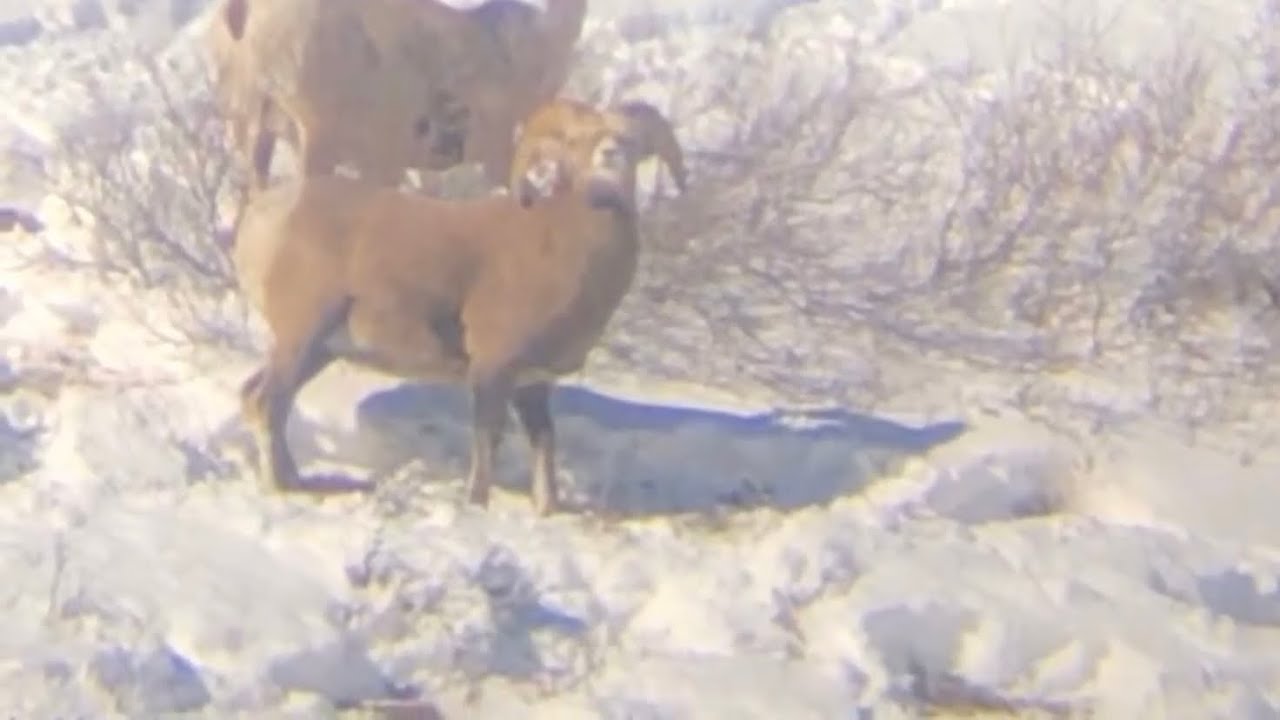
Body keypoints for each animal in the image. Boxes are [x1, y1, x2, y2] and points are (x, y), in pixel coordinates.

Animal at [231, 97, 688, 515]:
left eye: (632, 139)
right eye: (576, 142)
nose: (611, 154)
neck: (562, 249)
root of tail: (262, 216)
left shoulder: (533, 385)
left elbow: (544, 444)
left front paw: (546, 509)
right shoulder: (492, 369)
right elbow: (488, 439)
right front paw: (477, 504)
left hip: (319, 351)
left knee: (265, 401)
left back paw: (293, 479)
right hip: (301, 337)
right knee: (265, 403)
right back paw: (279, 486)